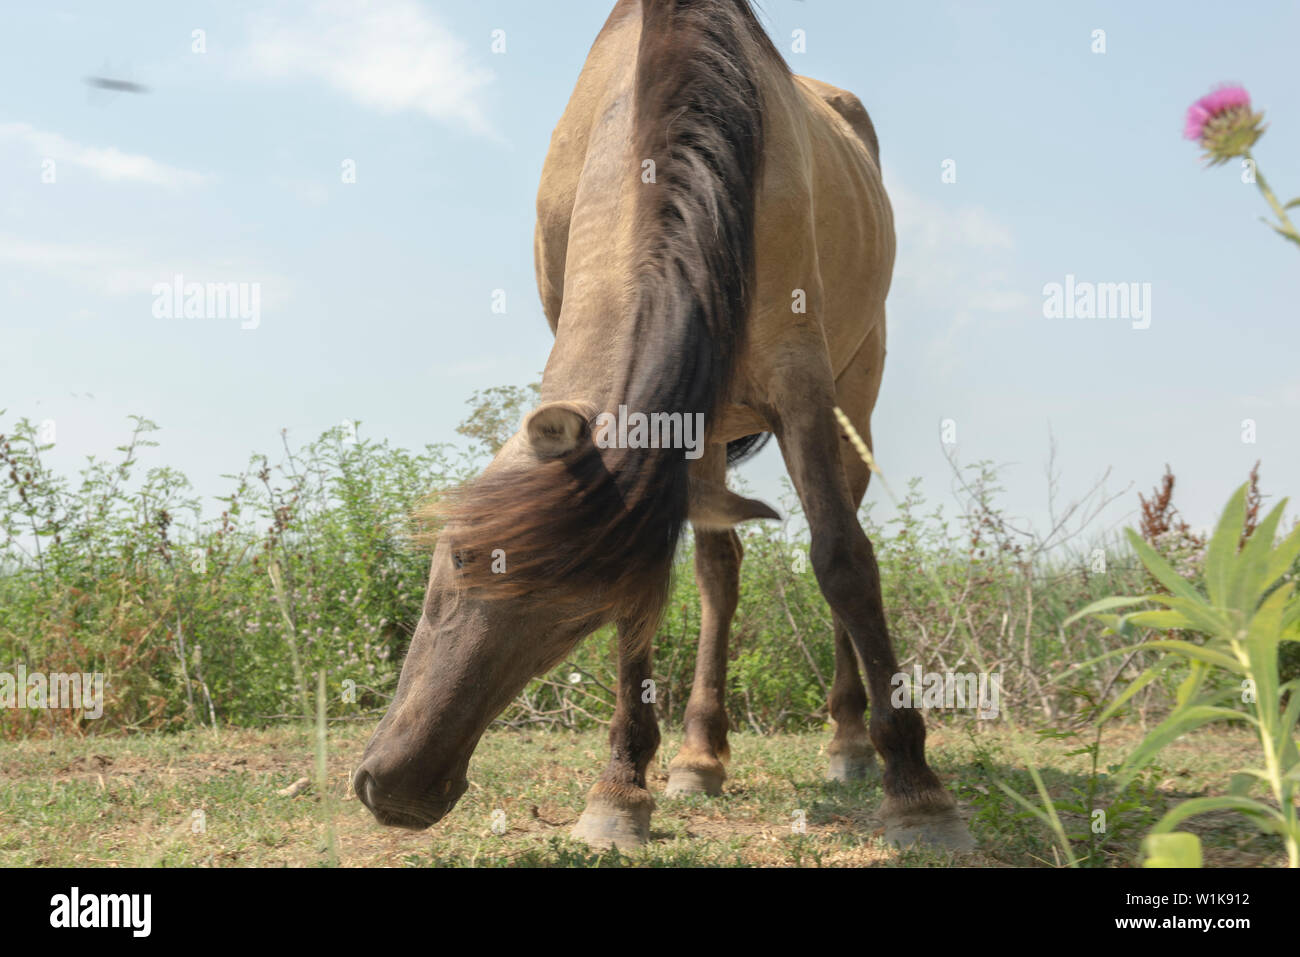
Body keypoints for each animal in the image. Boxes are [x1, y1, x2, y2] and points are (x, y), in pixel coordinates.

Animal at [354, 0, 973, 852]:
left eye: (573, 617)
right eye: (457, 556)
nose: (397, 786)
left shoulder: (805, 386)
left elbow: (843, 559)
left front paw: (915, 784)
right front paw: (621, 785)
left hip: (857, 392)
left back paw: (848, 741)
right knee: (720, 566)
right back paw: (699, 753)